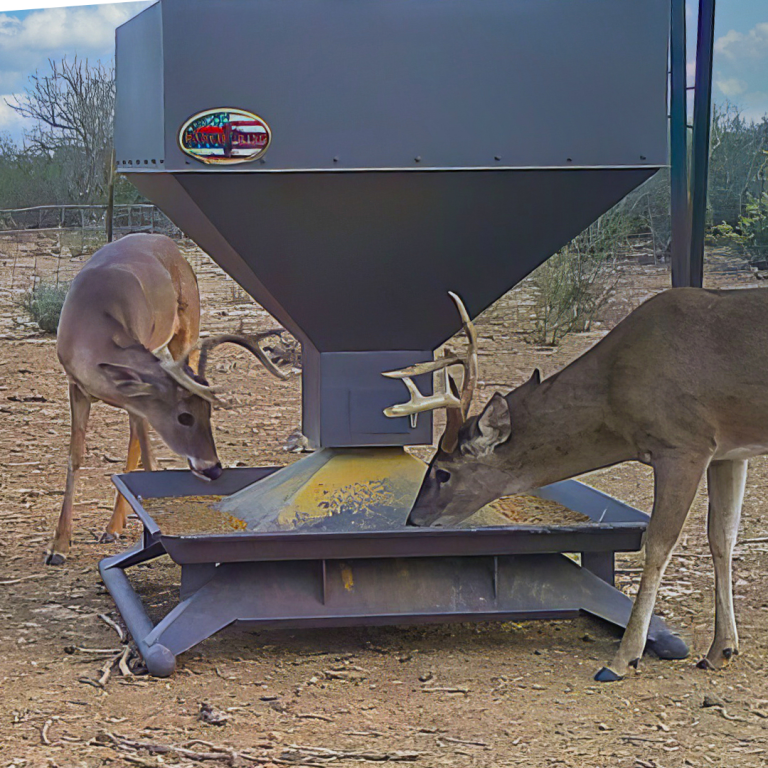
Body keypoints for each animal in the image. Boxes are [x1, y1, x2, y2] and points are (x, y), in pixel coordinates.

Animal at [48, 233, 287, 566]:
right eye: (184, 417)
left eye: (209, 413)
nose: (213, 469)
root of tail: (162, 238)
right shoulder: (76, 386)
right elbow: (75, 456)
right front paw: (58, 546)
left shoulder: (135, 394)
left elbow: (142, 451)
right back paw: (112, 527)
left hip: (187, 324)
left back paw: (114, 527)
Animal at [384, 287, 768, 681]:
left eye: (442, 472)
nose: (414, 519)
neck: (616, 393)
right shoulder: (728, 452)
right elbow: (722, 537)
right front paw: (721, 650)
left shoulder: (684, 444)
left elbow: (659, 542)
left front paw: (621, 660)